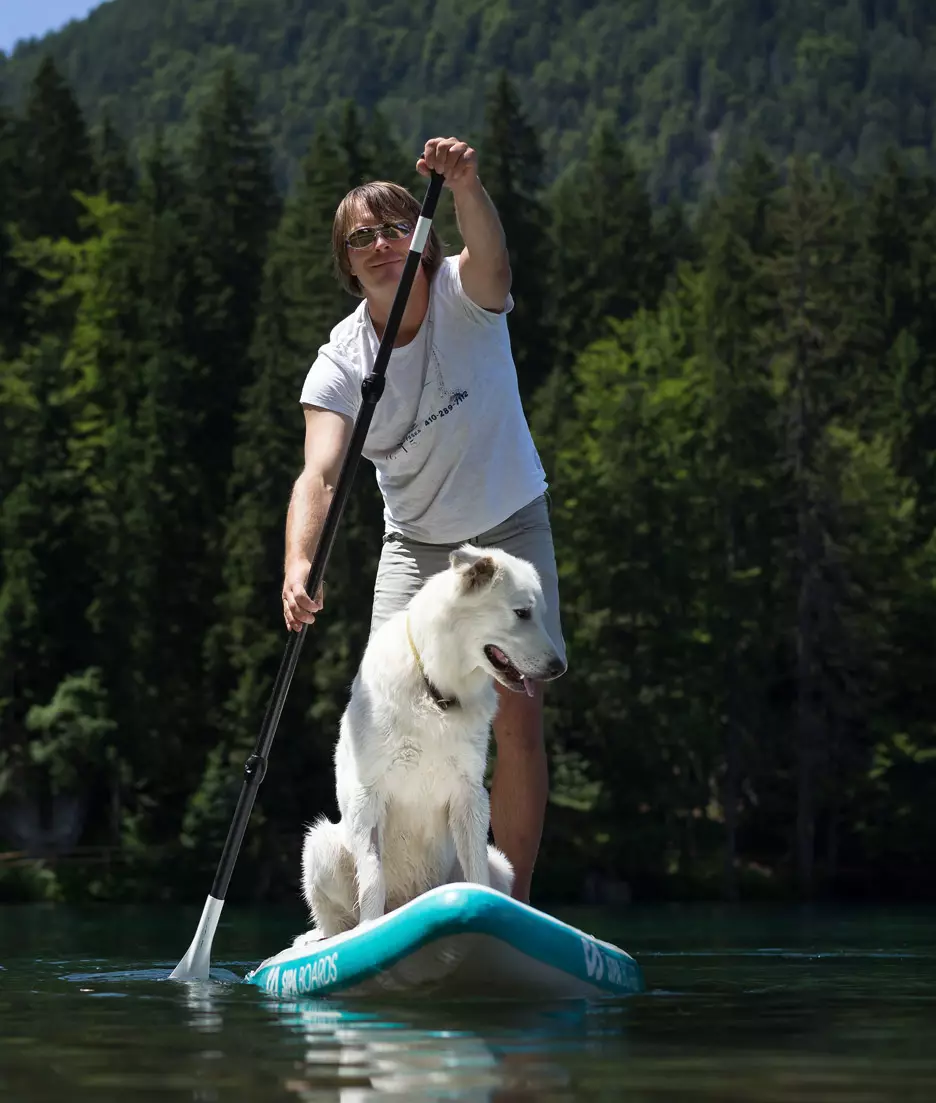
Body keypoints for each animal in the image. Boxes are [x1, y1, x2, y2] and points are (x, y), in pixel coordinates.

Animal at [295, 542, 564, 939]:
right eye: (522, 613)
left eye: (541, 615)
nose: (559, 668)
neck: (437, 690)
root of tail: (407, 903)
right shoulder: (367, 796)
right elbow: (372, 878)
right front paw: (371, 928)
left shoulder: (470, 797)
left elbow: (476, 875)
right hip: (320, 847)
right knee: (336, 923)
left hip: (500, 863)